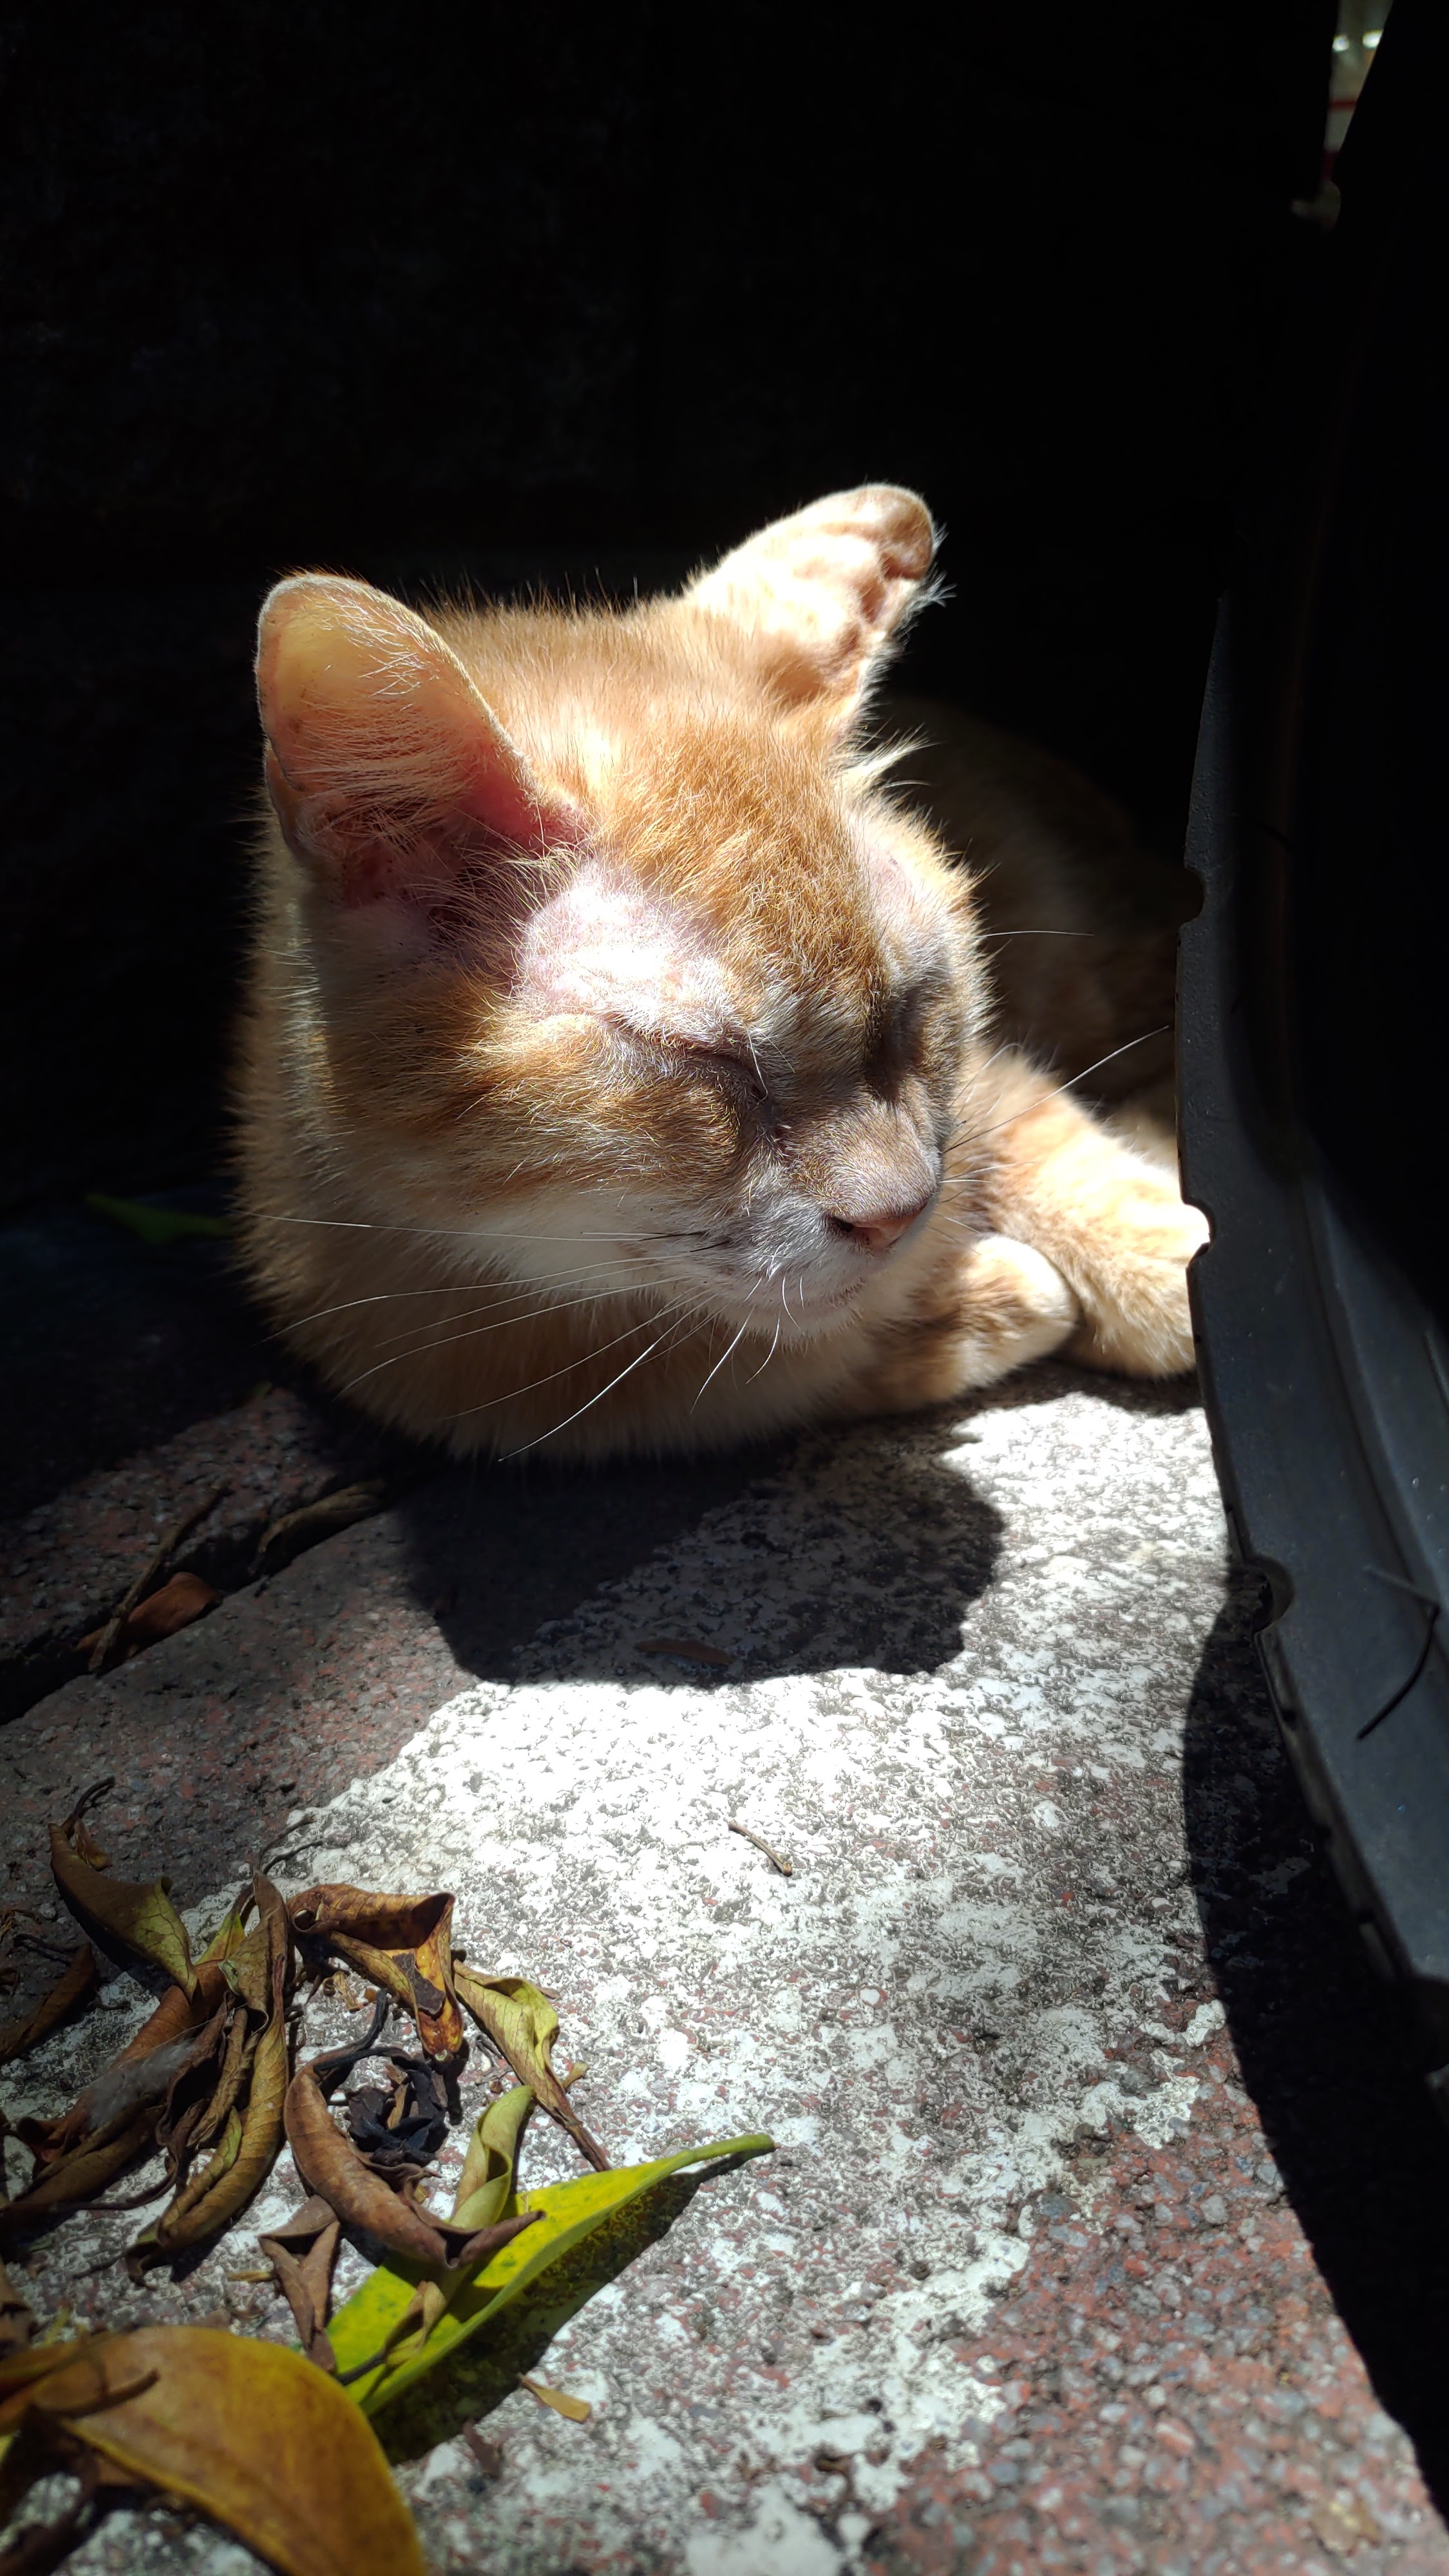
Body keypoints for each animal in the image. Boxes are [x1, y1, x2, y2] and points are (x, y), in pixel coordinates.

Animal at [234, 485, 1206, 1460]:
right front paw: (970, 1309)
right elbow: (801, 1367)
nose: (897, 1218)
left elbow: (1035, 1137)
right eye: (710, 1063)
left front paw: (1168, 1260)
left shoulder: (985, 1093)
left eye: (904, 1011)